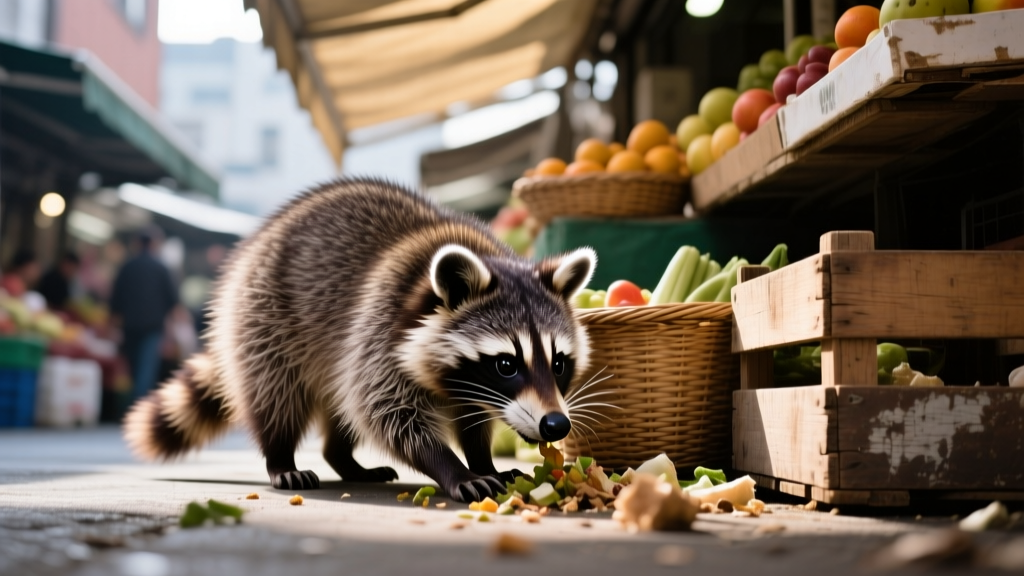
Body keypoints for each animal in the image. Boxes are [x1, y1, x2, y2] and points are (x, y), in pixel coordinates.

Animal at [123, 178, 597, 502]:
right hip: (264, 317)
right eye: (506, 364)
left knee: (340, 406)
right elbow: (386, 413)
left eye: (558, 363)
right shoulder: (379, 334)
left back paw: (342, 458)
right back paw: (281, 456)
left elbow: (471, 421)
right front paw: (452, 467)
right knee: (278, 393)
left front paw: (483, 460)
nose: (555, 425)